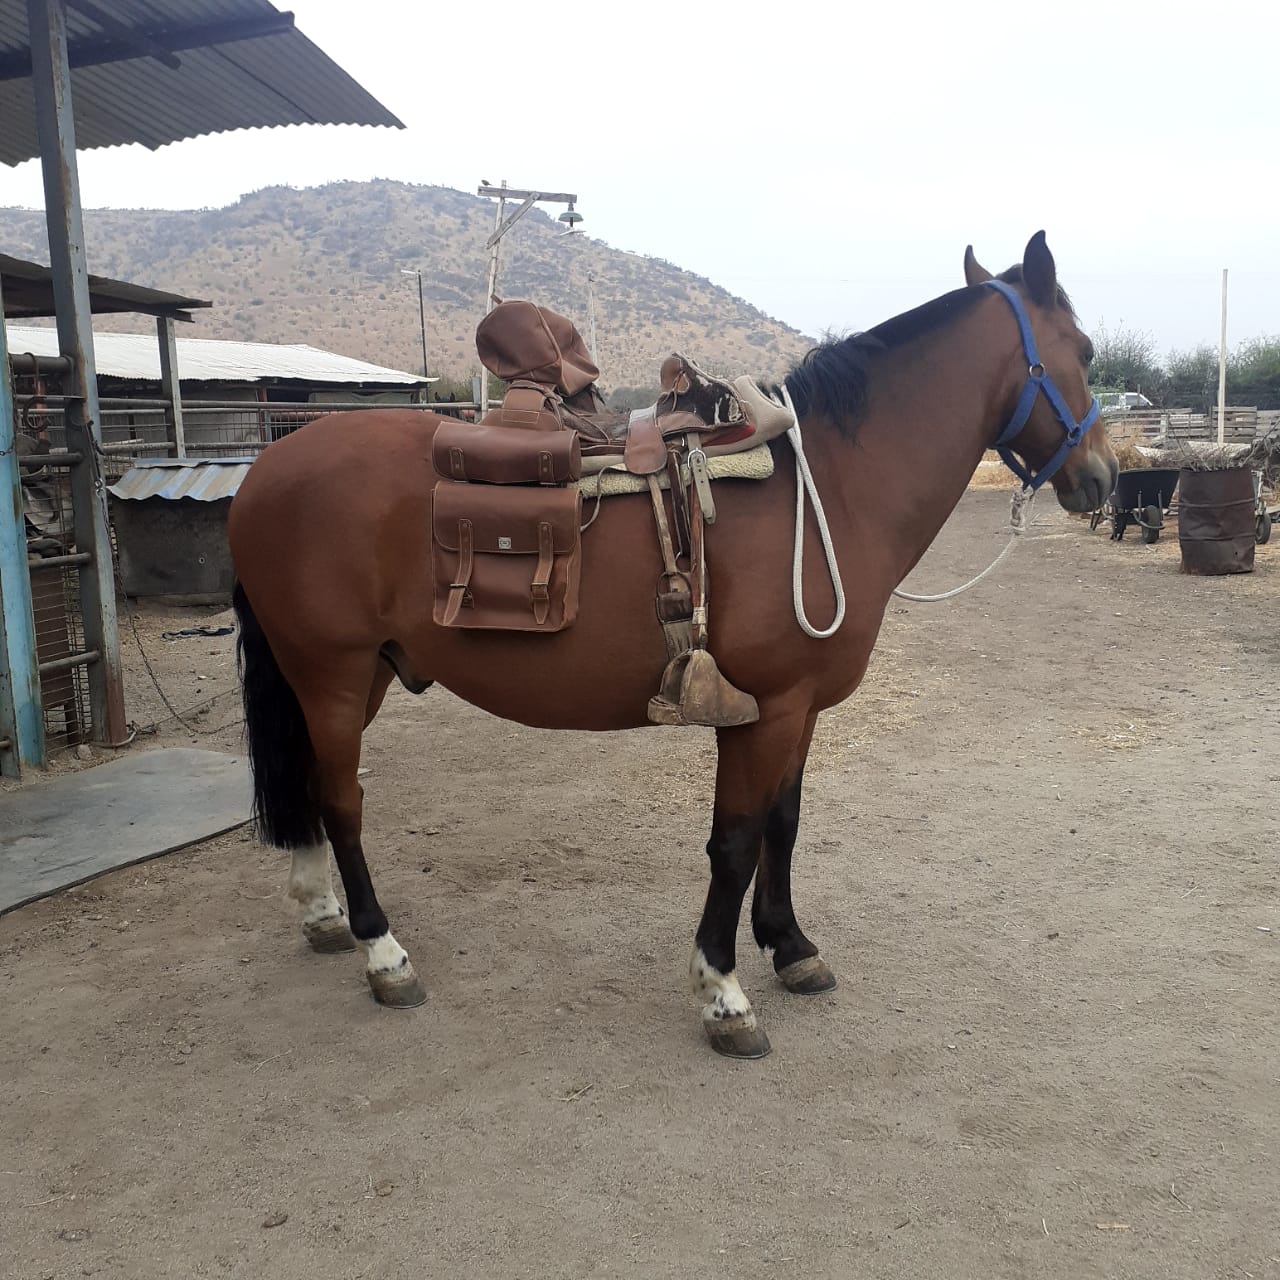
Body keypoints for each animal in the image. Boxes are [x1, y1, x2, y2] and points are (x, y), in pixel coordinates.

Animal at [227, 232, 1116, 1059]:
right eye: (1084, 351)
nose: (1104, 479)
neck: (831, 487)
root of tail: (267, 469)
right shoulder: (764, 712)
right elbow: (735, 841)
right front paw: (723, 993)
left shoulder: (798, 710)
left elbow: (783, 822)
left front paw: (790, 947)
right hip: (333, 673)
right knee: (342, 801)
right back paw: (383, 953)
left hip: (358, 675)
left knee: (312, 788)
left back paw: (323, 914)